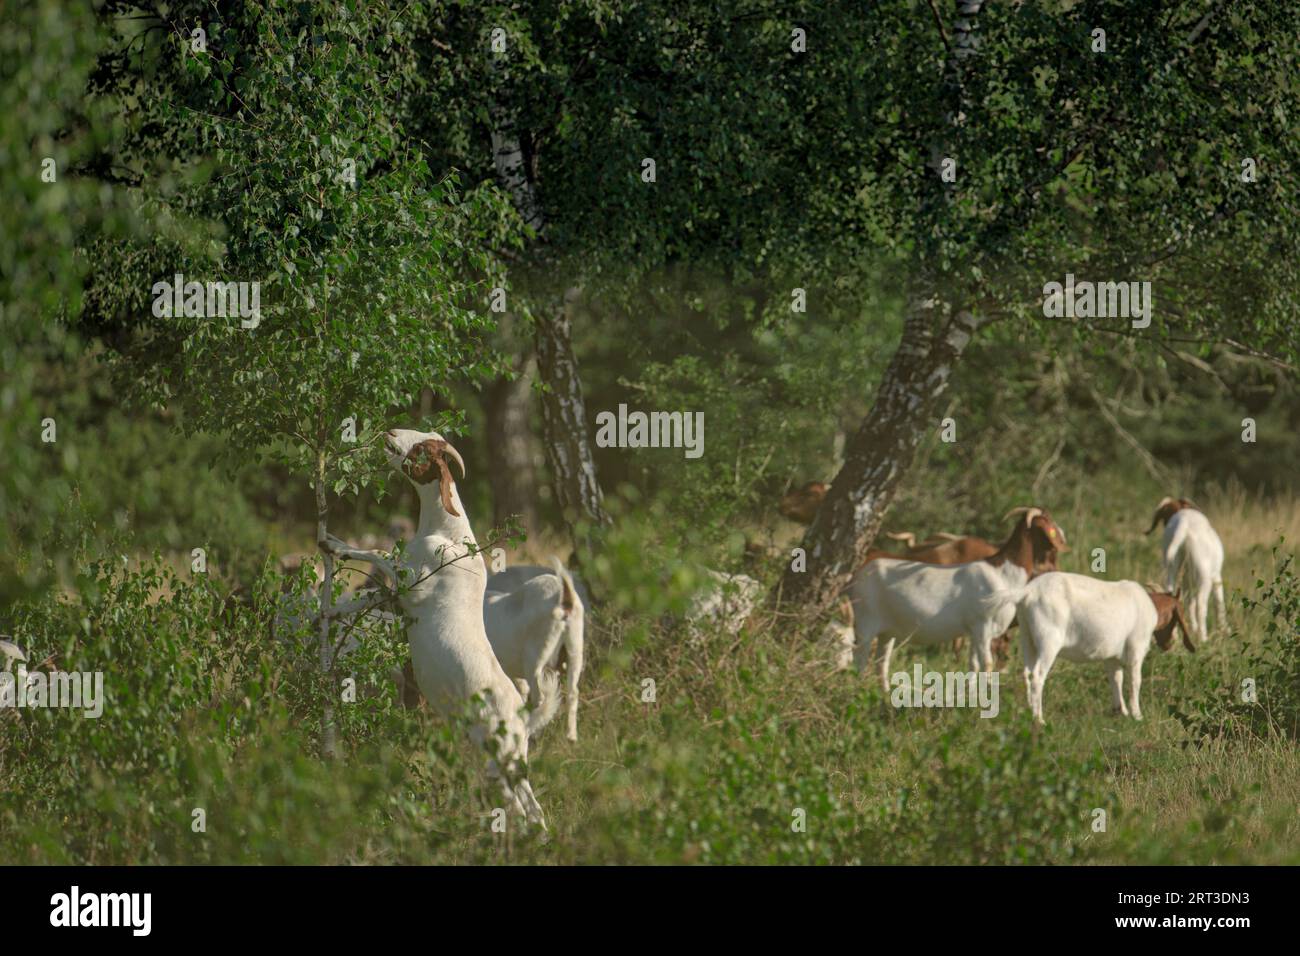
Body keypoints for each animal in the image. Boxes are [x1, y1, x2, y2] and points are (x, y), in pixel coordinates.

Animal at [322, 428, 546, 828]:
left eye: (423, 449)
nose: (392, 432)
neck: (448, 533)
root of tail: (521, 721)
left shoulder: (414, 585)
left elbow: (379, 554)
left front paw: (333, 545)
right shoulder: (400, 599)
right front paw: (331, 606)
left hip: (494, 756)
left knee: (519, 808)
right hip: (509, 762)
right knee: (532, 809)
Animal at [846, 507, 1069, 691]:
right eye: (1049, 522)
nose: (1064, 541)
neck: (1003, 572)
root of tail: (857, 575)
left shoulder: (973, 631)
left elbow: (974, 664)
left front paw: (969, 694)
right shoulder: (983, 626)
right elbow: (987, 663)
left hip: (887, 631)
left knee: (881, 662)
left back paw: (884, 692)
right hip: (865, 621)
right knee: (860, 656)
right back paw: (859, 687)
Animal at [981, 574, 1194, 722]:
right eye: (1175, 619)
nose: (1169, 644)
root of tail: (1028, 592)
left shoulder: (1111, 656)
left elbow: (1116, 679)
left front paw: (1121, 711)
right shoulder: (1136, 649)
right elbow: (1135, 681)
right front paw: (1137, 714)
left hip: (1027, 637)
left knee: (1026, 672)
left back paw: (1029, 710)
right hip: (1048, 640)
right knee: (1037, 675)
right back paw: (1039, 719)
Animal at [1145, 496, 1226, 642]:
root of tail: (1184, 527)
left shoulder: (1187, 582)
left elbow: (1189, 603)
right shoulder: (1216, 576)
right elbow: (1219, 603)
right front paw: (1224, 630)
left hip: (1172, 571)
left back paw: (1175, 635)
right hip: (1205, 578)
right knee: (1201, 606)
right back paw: (1203, 637)